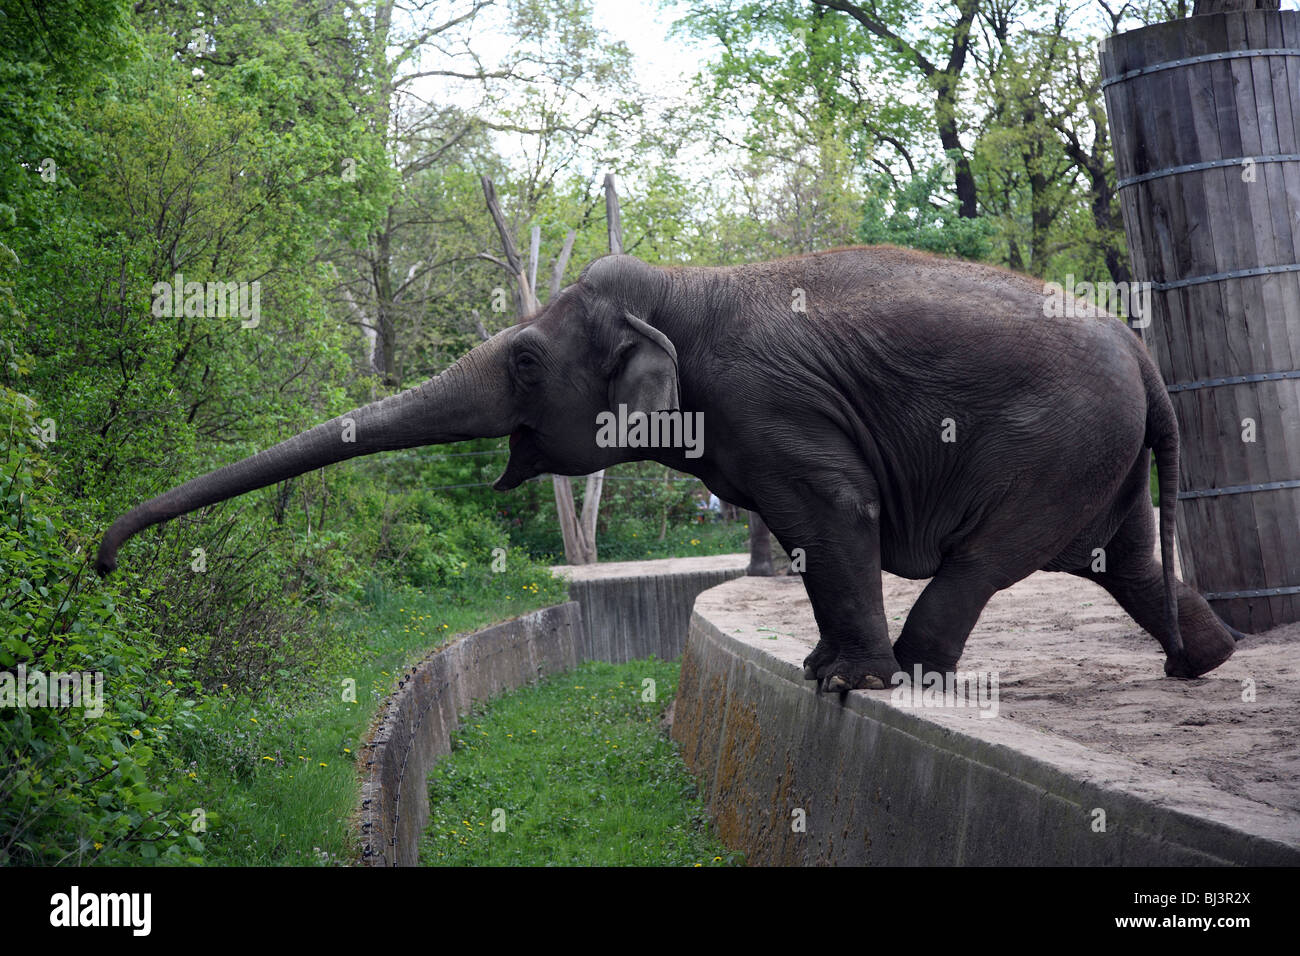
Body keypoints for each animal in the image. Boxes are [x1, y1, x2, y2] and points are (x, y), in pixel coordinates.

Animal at [97, 246, 1244, 690]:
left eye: (524, 360)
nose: (100, 563)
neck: (682, 282)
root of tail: (1146, 354)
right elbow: (815, 531)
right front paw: (815, 667)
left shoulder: (767, 407)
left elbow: (834, 510)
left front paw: (837, 683)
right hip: (1097, 456)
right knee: (1128, 562)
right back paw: (1205, 662)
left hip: (1055, 445)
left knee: (983, 560)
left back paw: (908, 675)